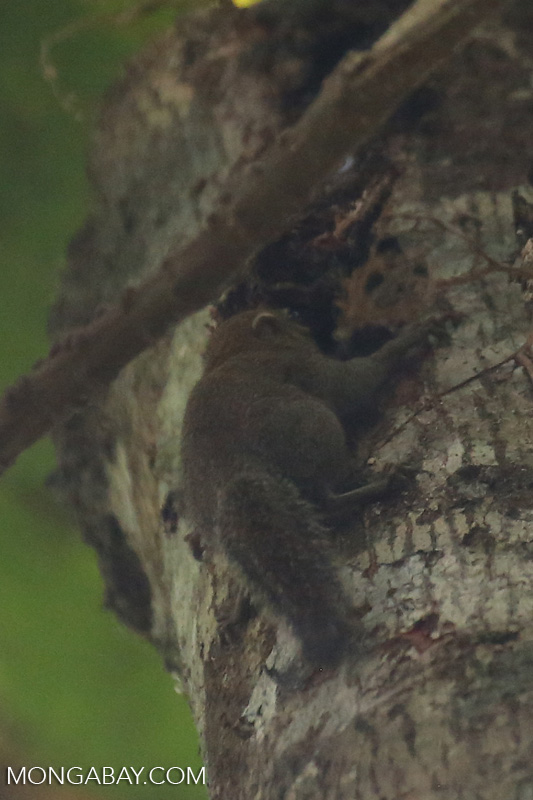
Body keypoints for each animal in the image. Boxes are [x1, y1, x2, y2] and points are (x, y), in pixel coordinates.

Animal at [180, 308, 437, 667]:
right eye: (287, 316)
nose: (310, 328)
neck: (232, 352)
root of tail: (231, 474)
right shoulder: (304, 366)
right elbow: (353, 381)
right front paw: (407, 338)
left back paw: (235, 611)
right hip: (312, 427)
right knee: (326, 500)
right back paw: (382, 484)